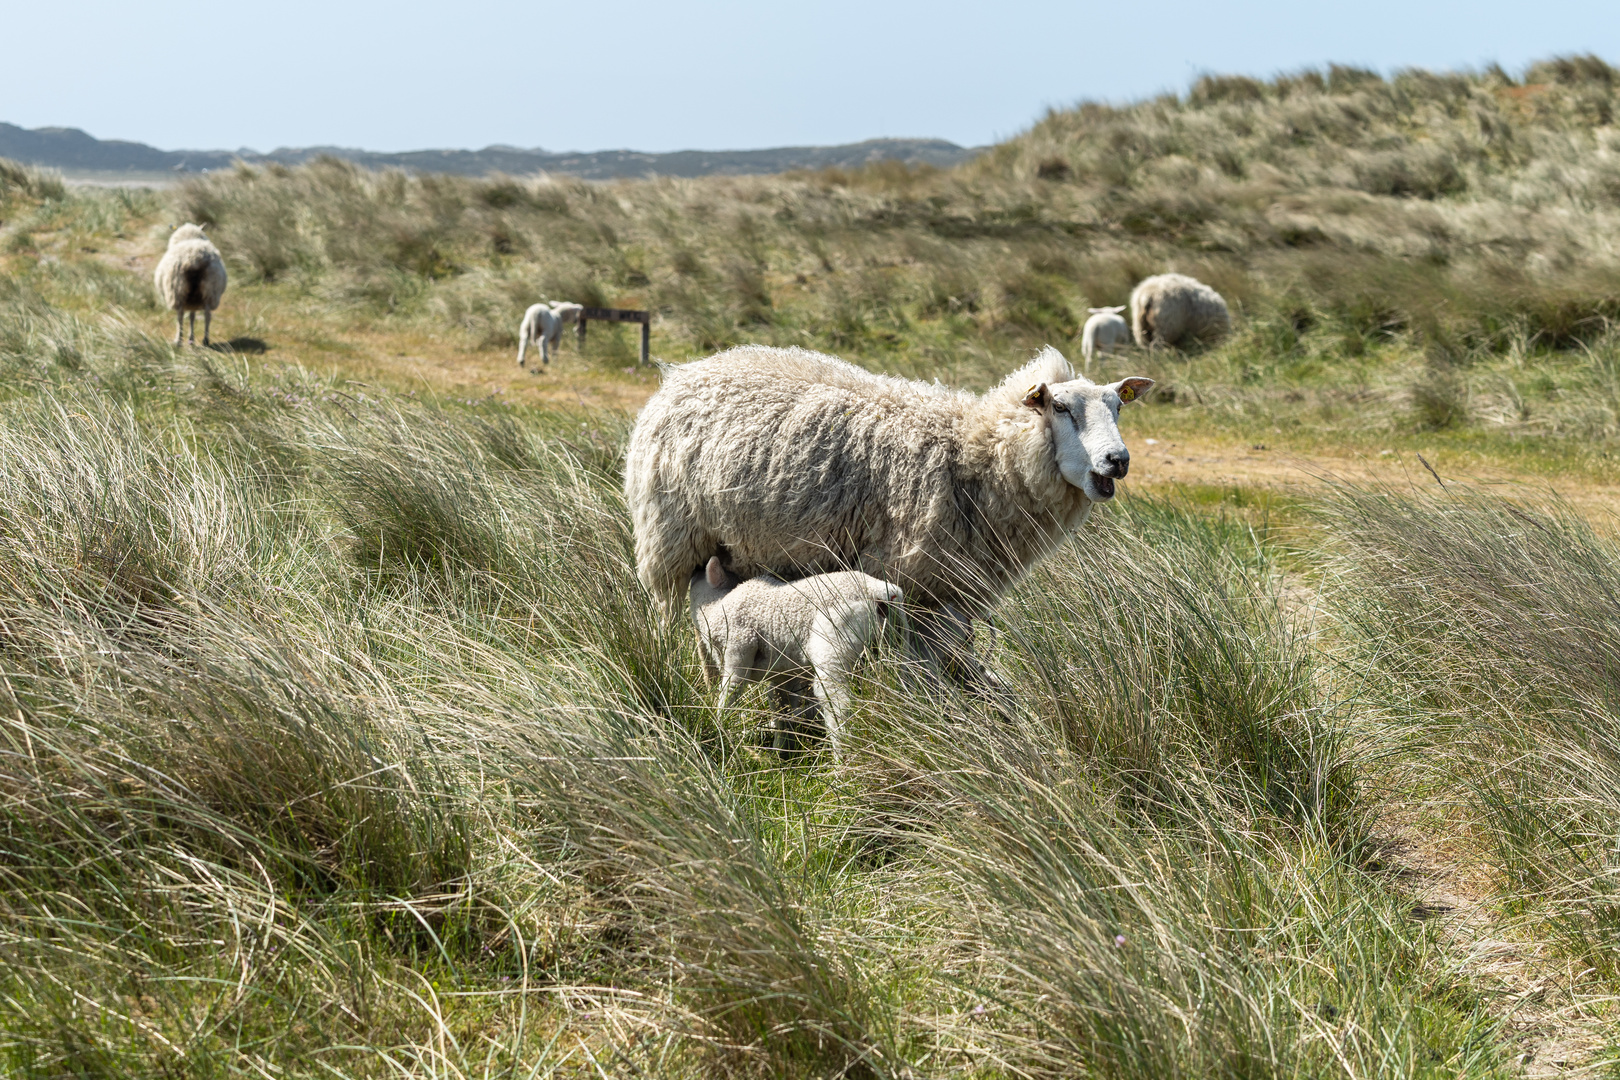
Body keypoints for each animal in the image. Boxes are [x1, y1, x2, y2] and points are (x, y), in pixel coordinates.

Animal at [618, 346, 1153, 683]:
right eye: (1060, 407)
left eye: (1118, 407)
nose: (1118, 460)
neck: (976, 455)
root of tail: (684, 372)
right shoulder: (901, 576)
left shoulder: (951, 591)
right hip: (671, 544)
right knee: (675, 619)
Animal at [690, 557, 907, 761]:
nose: (693, 571)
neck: (716, 605)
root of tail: (881, 592)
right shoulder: (782, 671)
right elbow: (781, 705)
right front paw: (781, 752)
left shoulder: (740, 643)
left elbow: (731, 691)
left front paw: (721, 728)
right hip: (896, 638)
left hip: (834, 639)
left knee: (837, 702)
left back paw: (841, 760)